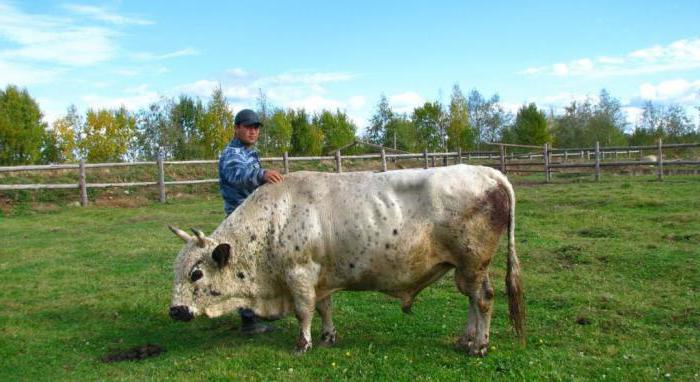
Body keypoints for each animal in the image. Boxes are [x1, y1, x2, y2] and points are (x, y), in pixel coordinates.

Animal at [167, 164, 524, 356]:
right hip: (468, 268)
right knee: (473, 299)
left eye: (196, 274)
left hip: (472, 263)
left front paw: (303, 344)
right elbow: (324, 307)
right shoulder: (321, 277)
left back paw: (479, 346)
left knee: (483, 299)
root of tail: (488, 172)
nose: (175, 311)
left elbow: (303, 311)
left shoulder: (299, 273)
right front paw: (328, 336)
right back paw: (466, 339)